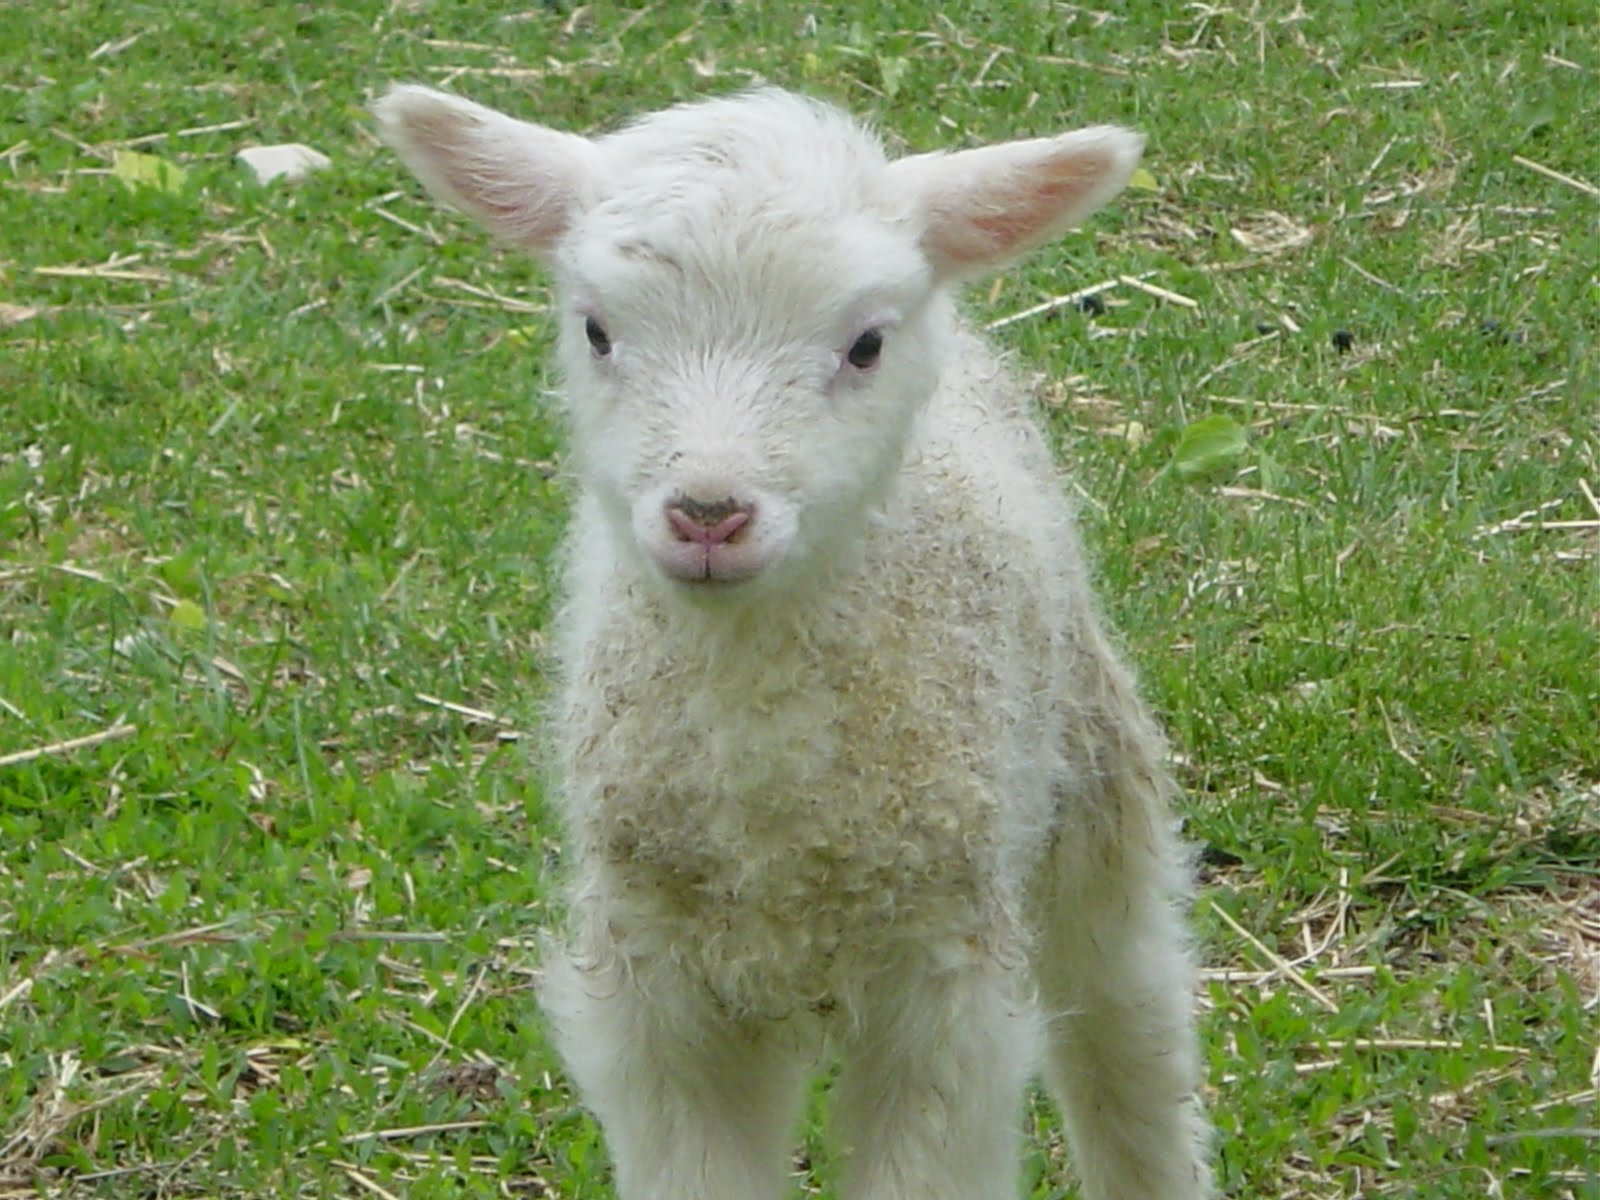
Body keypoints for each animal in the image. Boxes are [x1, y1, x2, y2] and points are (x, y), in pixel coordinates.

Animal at [374, 83, 1213, 1200]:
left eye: (863, 345)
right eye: (595, 330)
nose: (708, 514)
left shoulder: (945, 986)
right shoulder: (652, 988)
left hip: (1088, 786)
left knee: (1130, 1037)